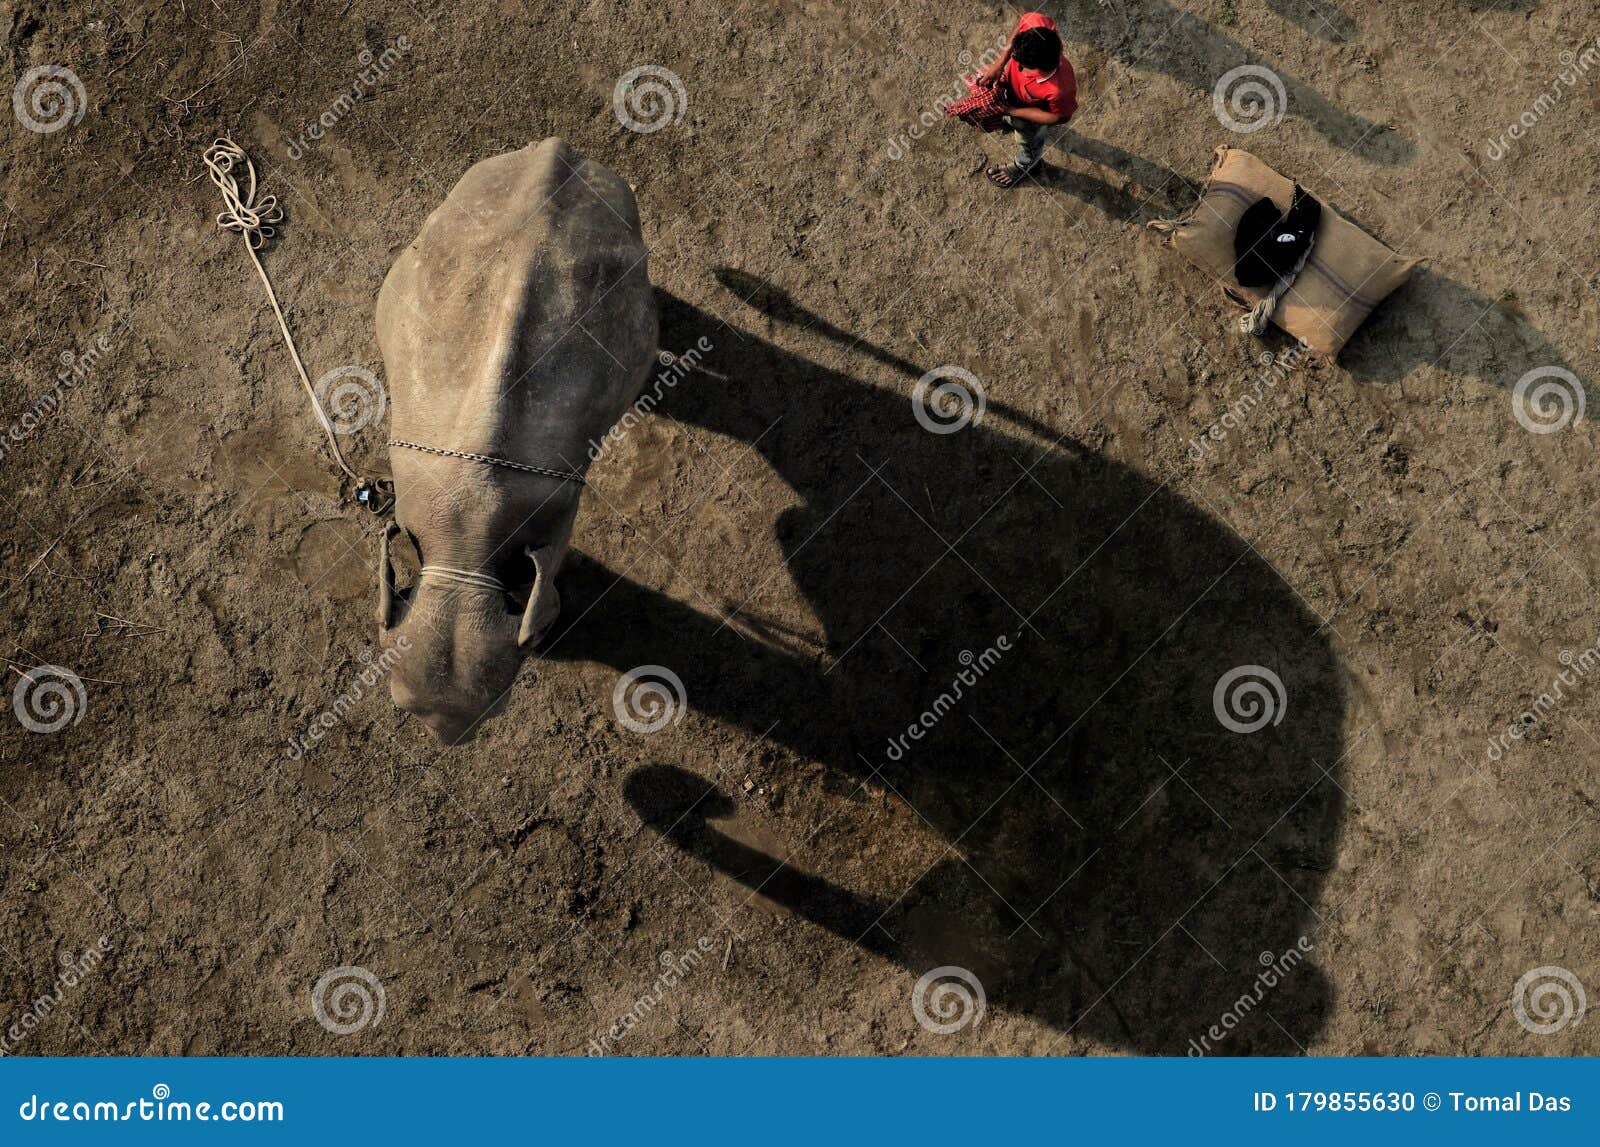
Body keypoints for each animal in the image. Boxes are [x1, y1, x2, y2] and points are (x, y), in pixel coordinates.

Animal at [373, 138, 657, 743]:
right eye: (404, 707)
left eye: (496, 710)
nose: (450, 742)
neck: (464, 540)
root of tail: (558, 149)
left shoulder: (558, 502)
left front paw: (545, 616)